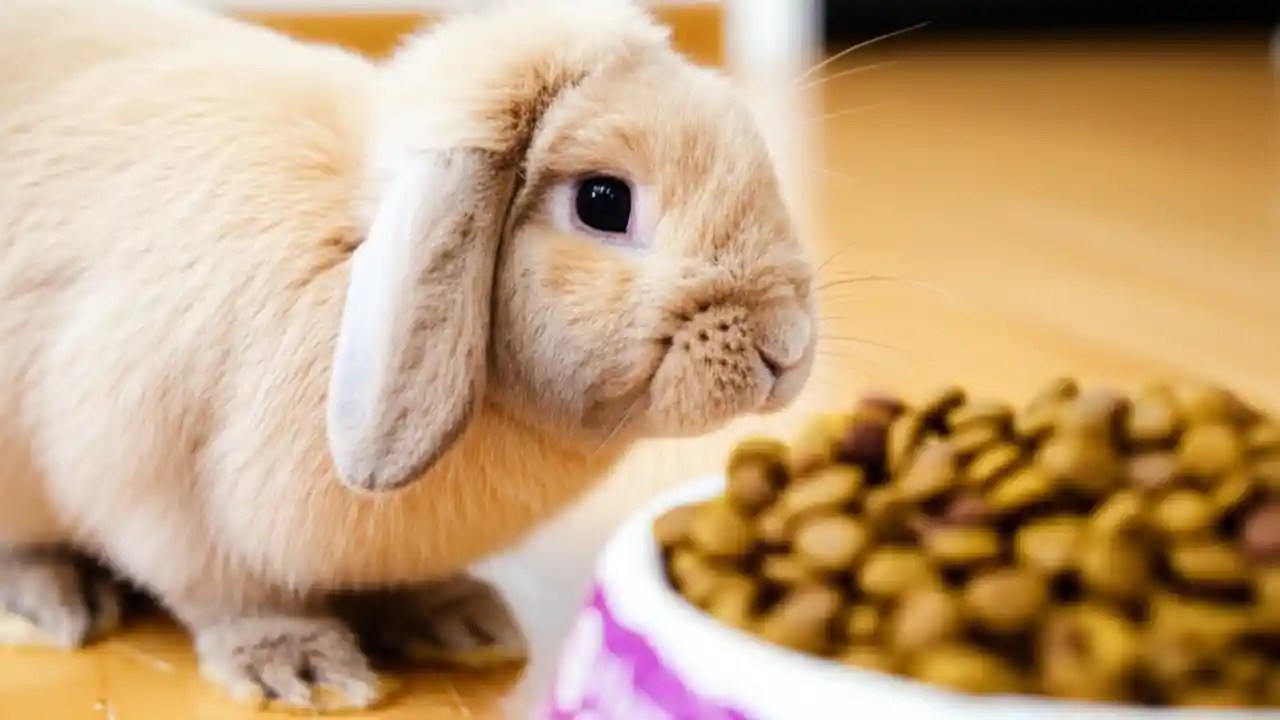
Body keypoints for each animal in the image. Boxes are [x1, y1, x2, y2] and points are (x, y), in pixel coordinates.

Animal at [0, 0, 816, 710]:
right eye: (603, 202)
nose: (786, 347)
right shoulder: (154, 490)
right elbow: (231, 595)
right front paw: (305, 673)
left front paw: (463, 621)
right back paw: (49, 605)